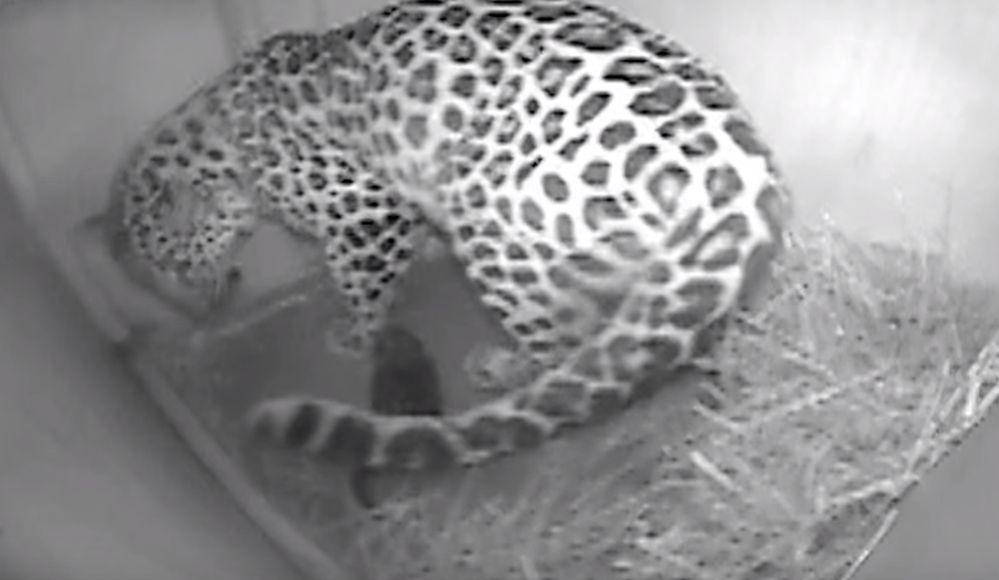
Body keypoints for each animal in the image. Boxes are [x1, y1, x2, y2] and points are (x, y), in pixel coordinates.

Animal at [98, 0, 792, 473]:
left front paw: (353, 335)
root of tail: (736, 171)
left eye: (170, 263)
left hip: (491, 216)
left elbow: (362, 288)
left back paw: (503, 367)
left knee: (565, 342)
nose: (206, 304)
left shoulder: (364, 210)